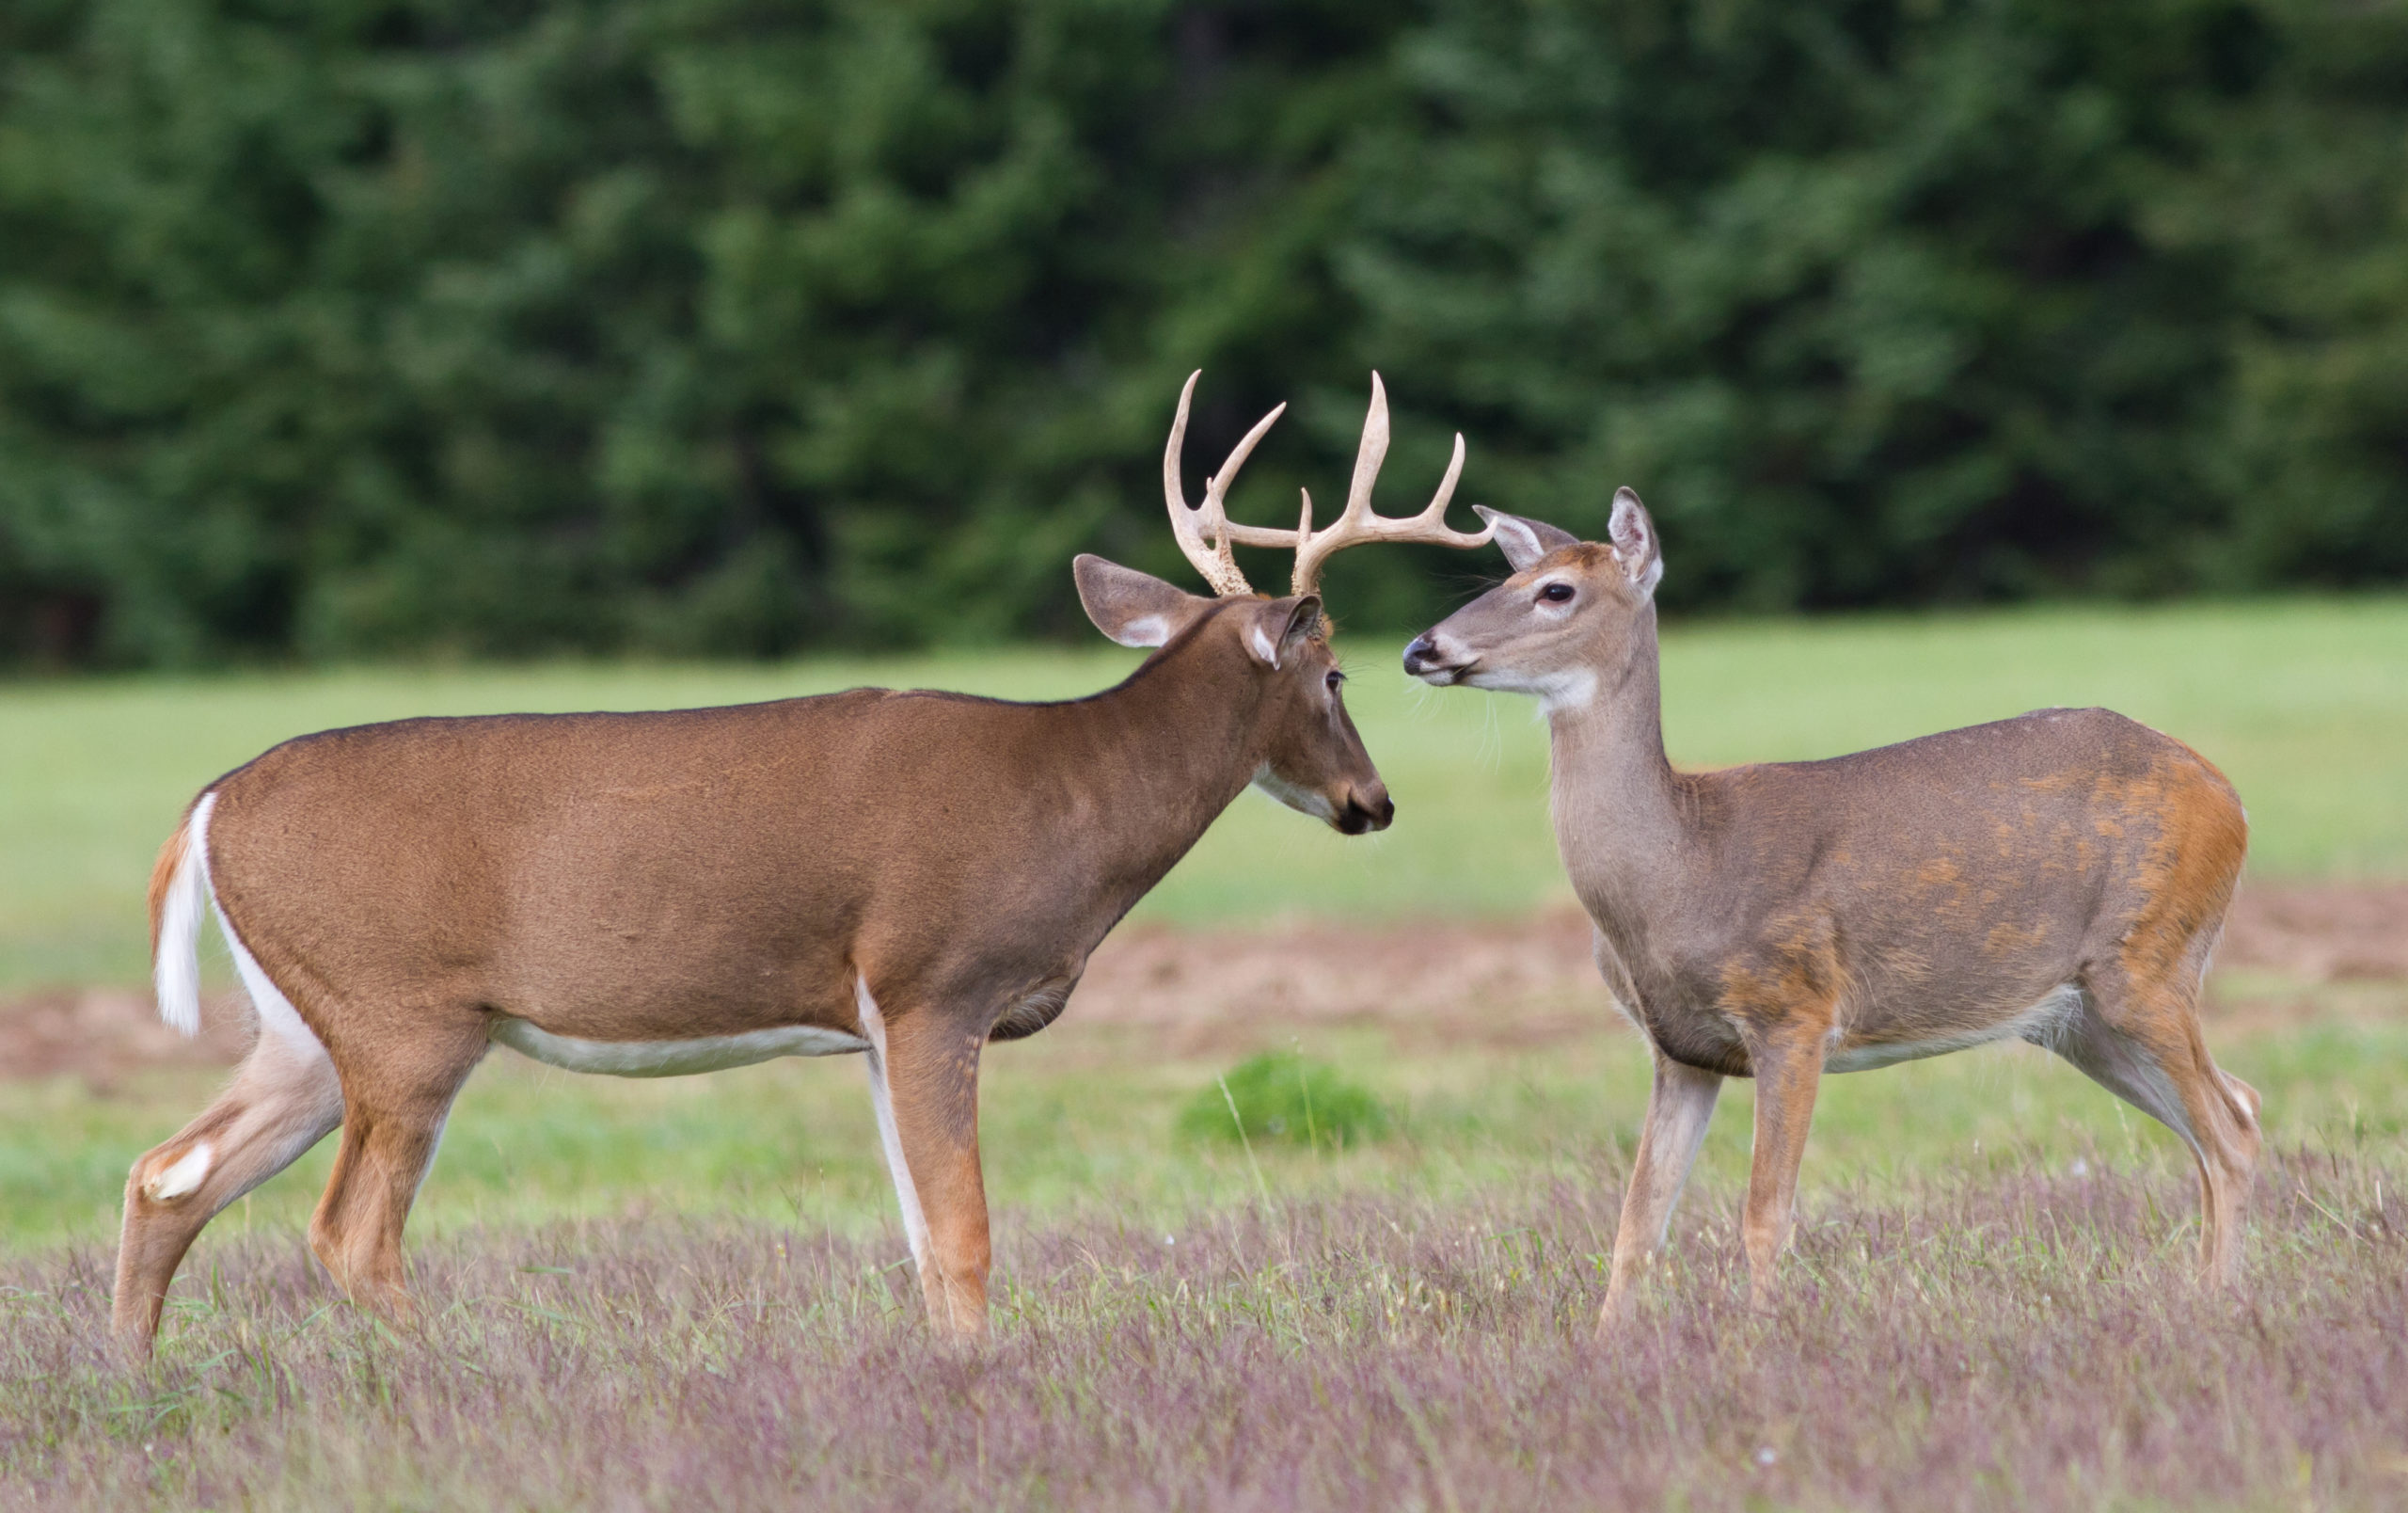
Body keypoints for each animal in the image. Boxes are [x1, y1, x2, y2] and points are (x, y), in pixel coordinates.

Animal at [112, 372, 1494, 1357]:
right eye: (1336, 675)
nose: (1372, 803)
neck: (1070, 801)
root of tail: (208, 804)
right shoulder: (935, 980)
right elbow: (965, 1233)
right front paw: (979, 1382)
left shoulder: (873, 1024)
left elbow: (923, 1240)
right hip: (404, 1014)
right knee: (347, 1234)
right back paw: (456, 1379)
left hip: (308, 1026)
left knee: (166, 1176)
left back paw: (136, 1383)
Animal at [1402, 489, 2261, 1327]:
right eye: (1504, 577)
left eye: (1556, 591)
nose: (1422, 648)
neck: (1680, 871)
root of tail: (2228, 794)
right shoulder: (1678, 1050)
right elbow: (1636, 1225)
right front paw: (1610, 1347)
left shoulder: (1793, 1011)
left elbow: (1764, 1215)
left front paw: (1761, 1342)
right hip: (2077, 1019)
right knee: (2236, 1109)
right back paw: (2206, 1291)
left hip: (2149, 958)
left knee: (2229, 1135)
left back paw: (2216, 1308)